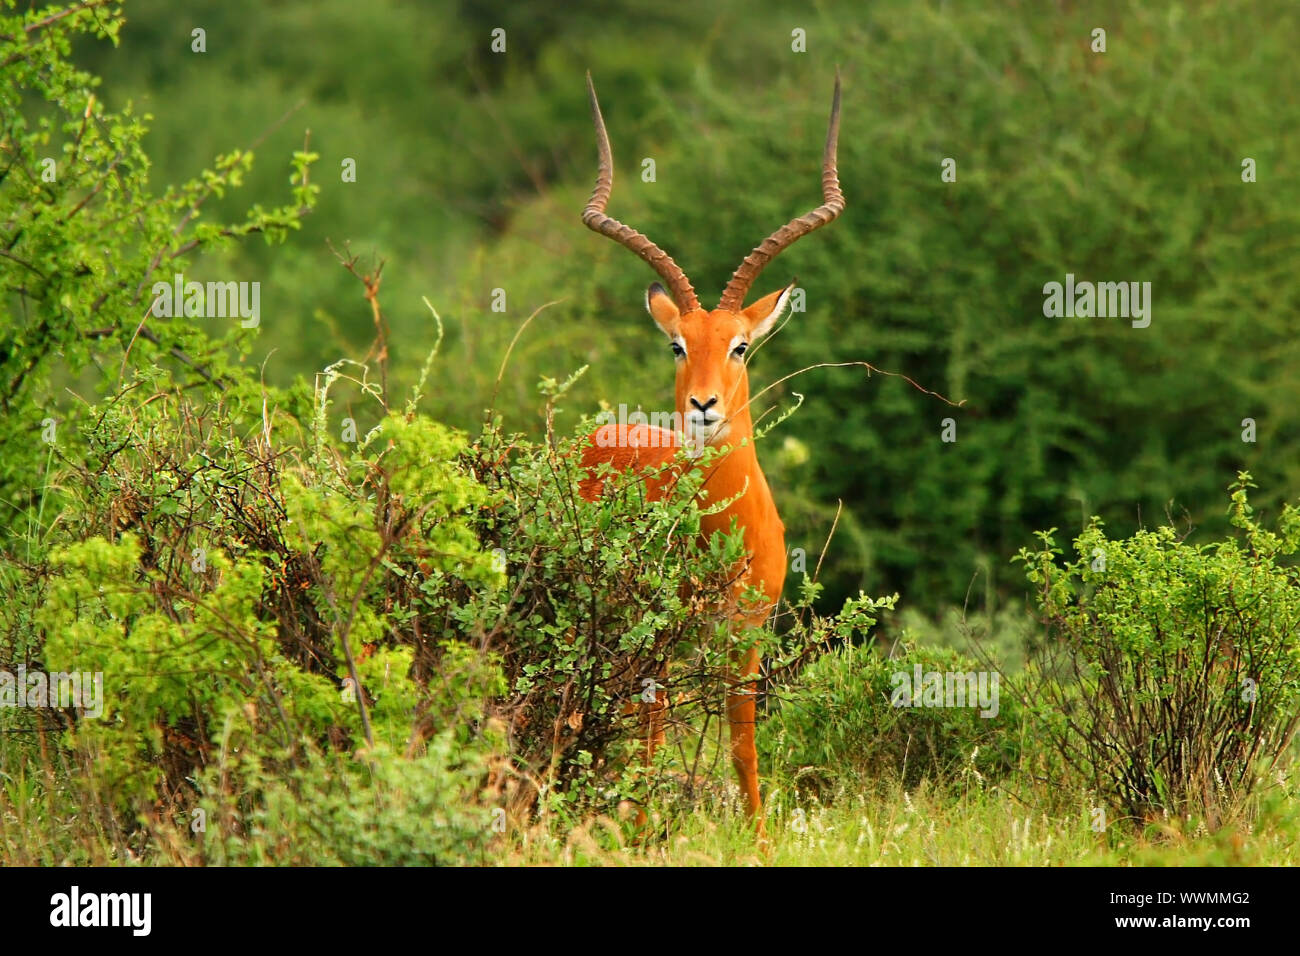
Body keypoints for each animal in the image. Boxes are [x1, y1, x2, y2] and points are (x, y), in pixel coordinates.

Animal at [576, 71, 844, 837]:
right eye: (677, 345)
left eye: (741, 346)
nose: (702, 406)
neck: (728, 533)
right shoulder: (660, 638)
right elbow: (651, 737)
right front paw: (639, 834)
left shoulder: (745, 640)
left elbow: (743, 745)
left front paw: (757, 837)